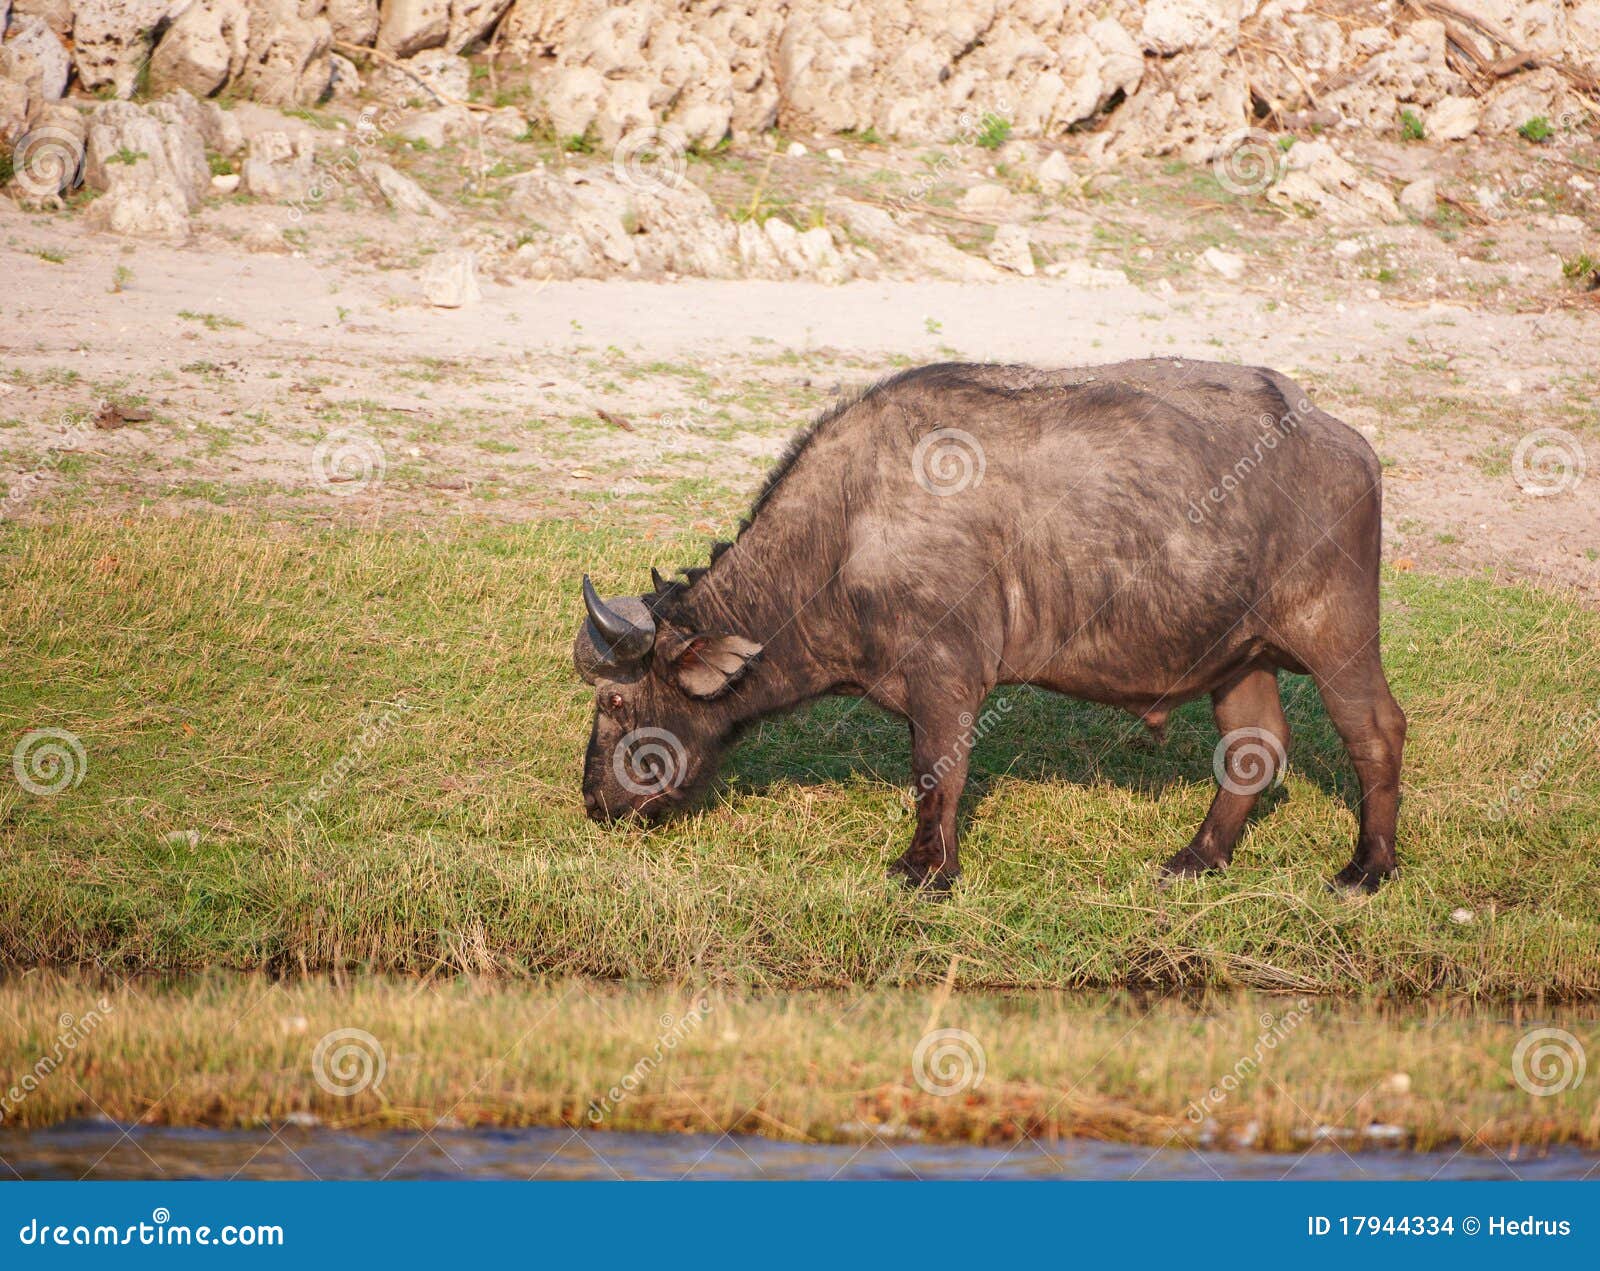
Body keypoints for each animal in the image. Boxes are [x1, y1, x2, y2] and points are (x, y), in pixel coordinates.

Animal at [575, 359, 1406, 892]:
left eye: (615, 701)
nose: (594, 802)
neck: (845, 530)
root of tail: (1344, 440)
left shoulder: (946, 677)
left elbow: (937, 772)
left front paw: (926, 870)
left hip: (1338, 633)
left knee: (1375, 730)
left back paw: (1368, 867)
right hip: (1238, 655)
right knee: (1254, 747)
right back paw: (1197, 857)